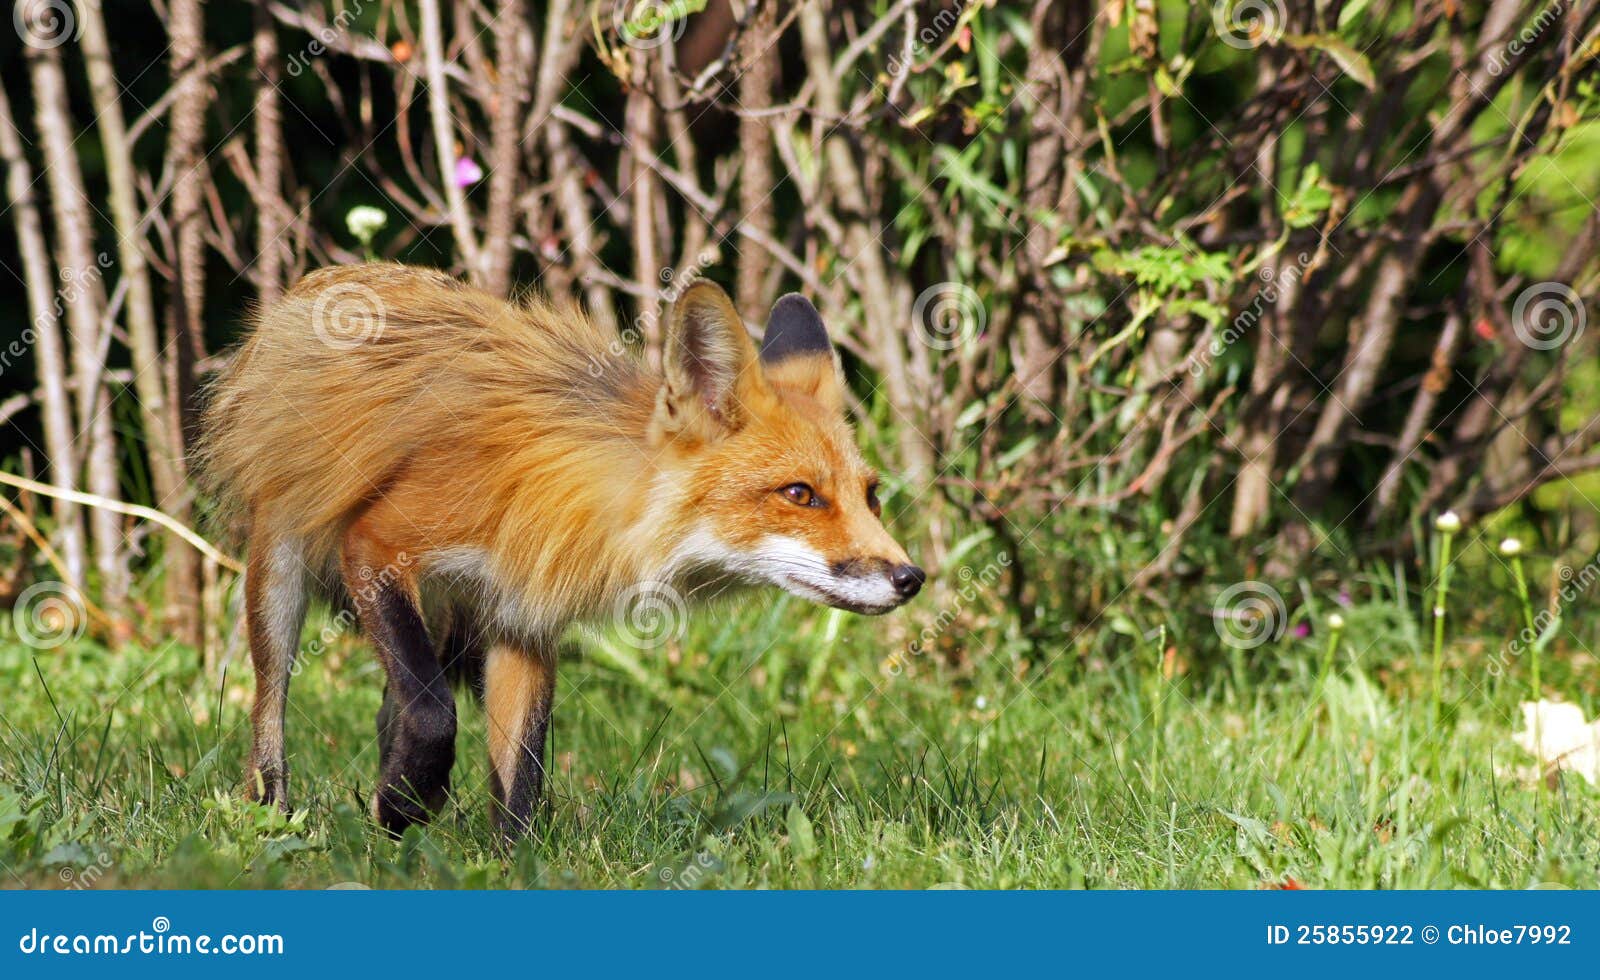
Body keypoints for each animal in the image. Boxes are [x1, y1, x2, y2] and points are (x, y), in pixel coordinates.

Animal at [199, 264, 923, 837]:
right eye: (800, 494)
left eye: (871, 496)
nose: (911, 577)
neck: (600, 505)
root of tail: (316, 285)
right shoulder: (380, 544)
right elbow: (433, 715)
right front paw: (408, 802)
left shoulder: (522, 617)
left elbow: (520, 772)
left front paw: (499, 860)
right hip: (281, 575)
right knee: (273, 713)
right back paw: (279, 814)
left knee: (390, 705)